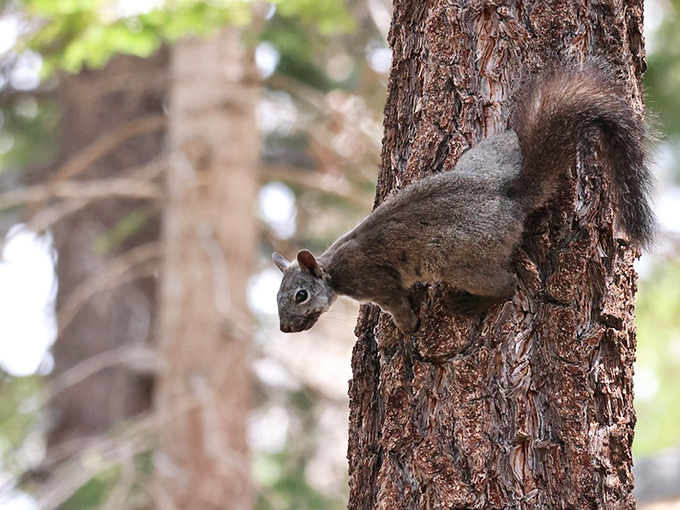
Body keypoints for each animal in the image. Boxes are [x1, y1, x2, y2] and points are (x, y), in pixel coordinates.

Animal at [272, 63, 655, 333]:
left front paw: (406, 329)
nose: (286, 328)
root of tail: (508, 194)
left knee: (507, 284)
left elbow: (397, 305)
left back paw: (473, 305)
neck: (334, 269)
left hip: (460, 260)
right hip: (487, 155)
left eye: (301, 295)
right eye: (277, 296)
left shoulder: (377, 282)